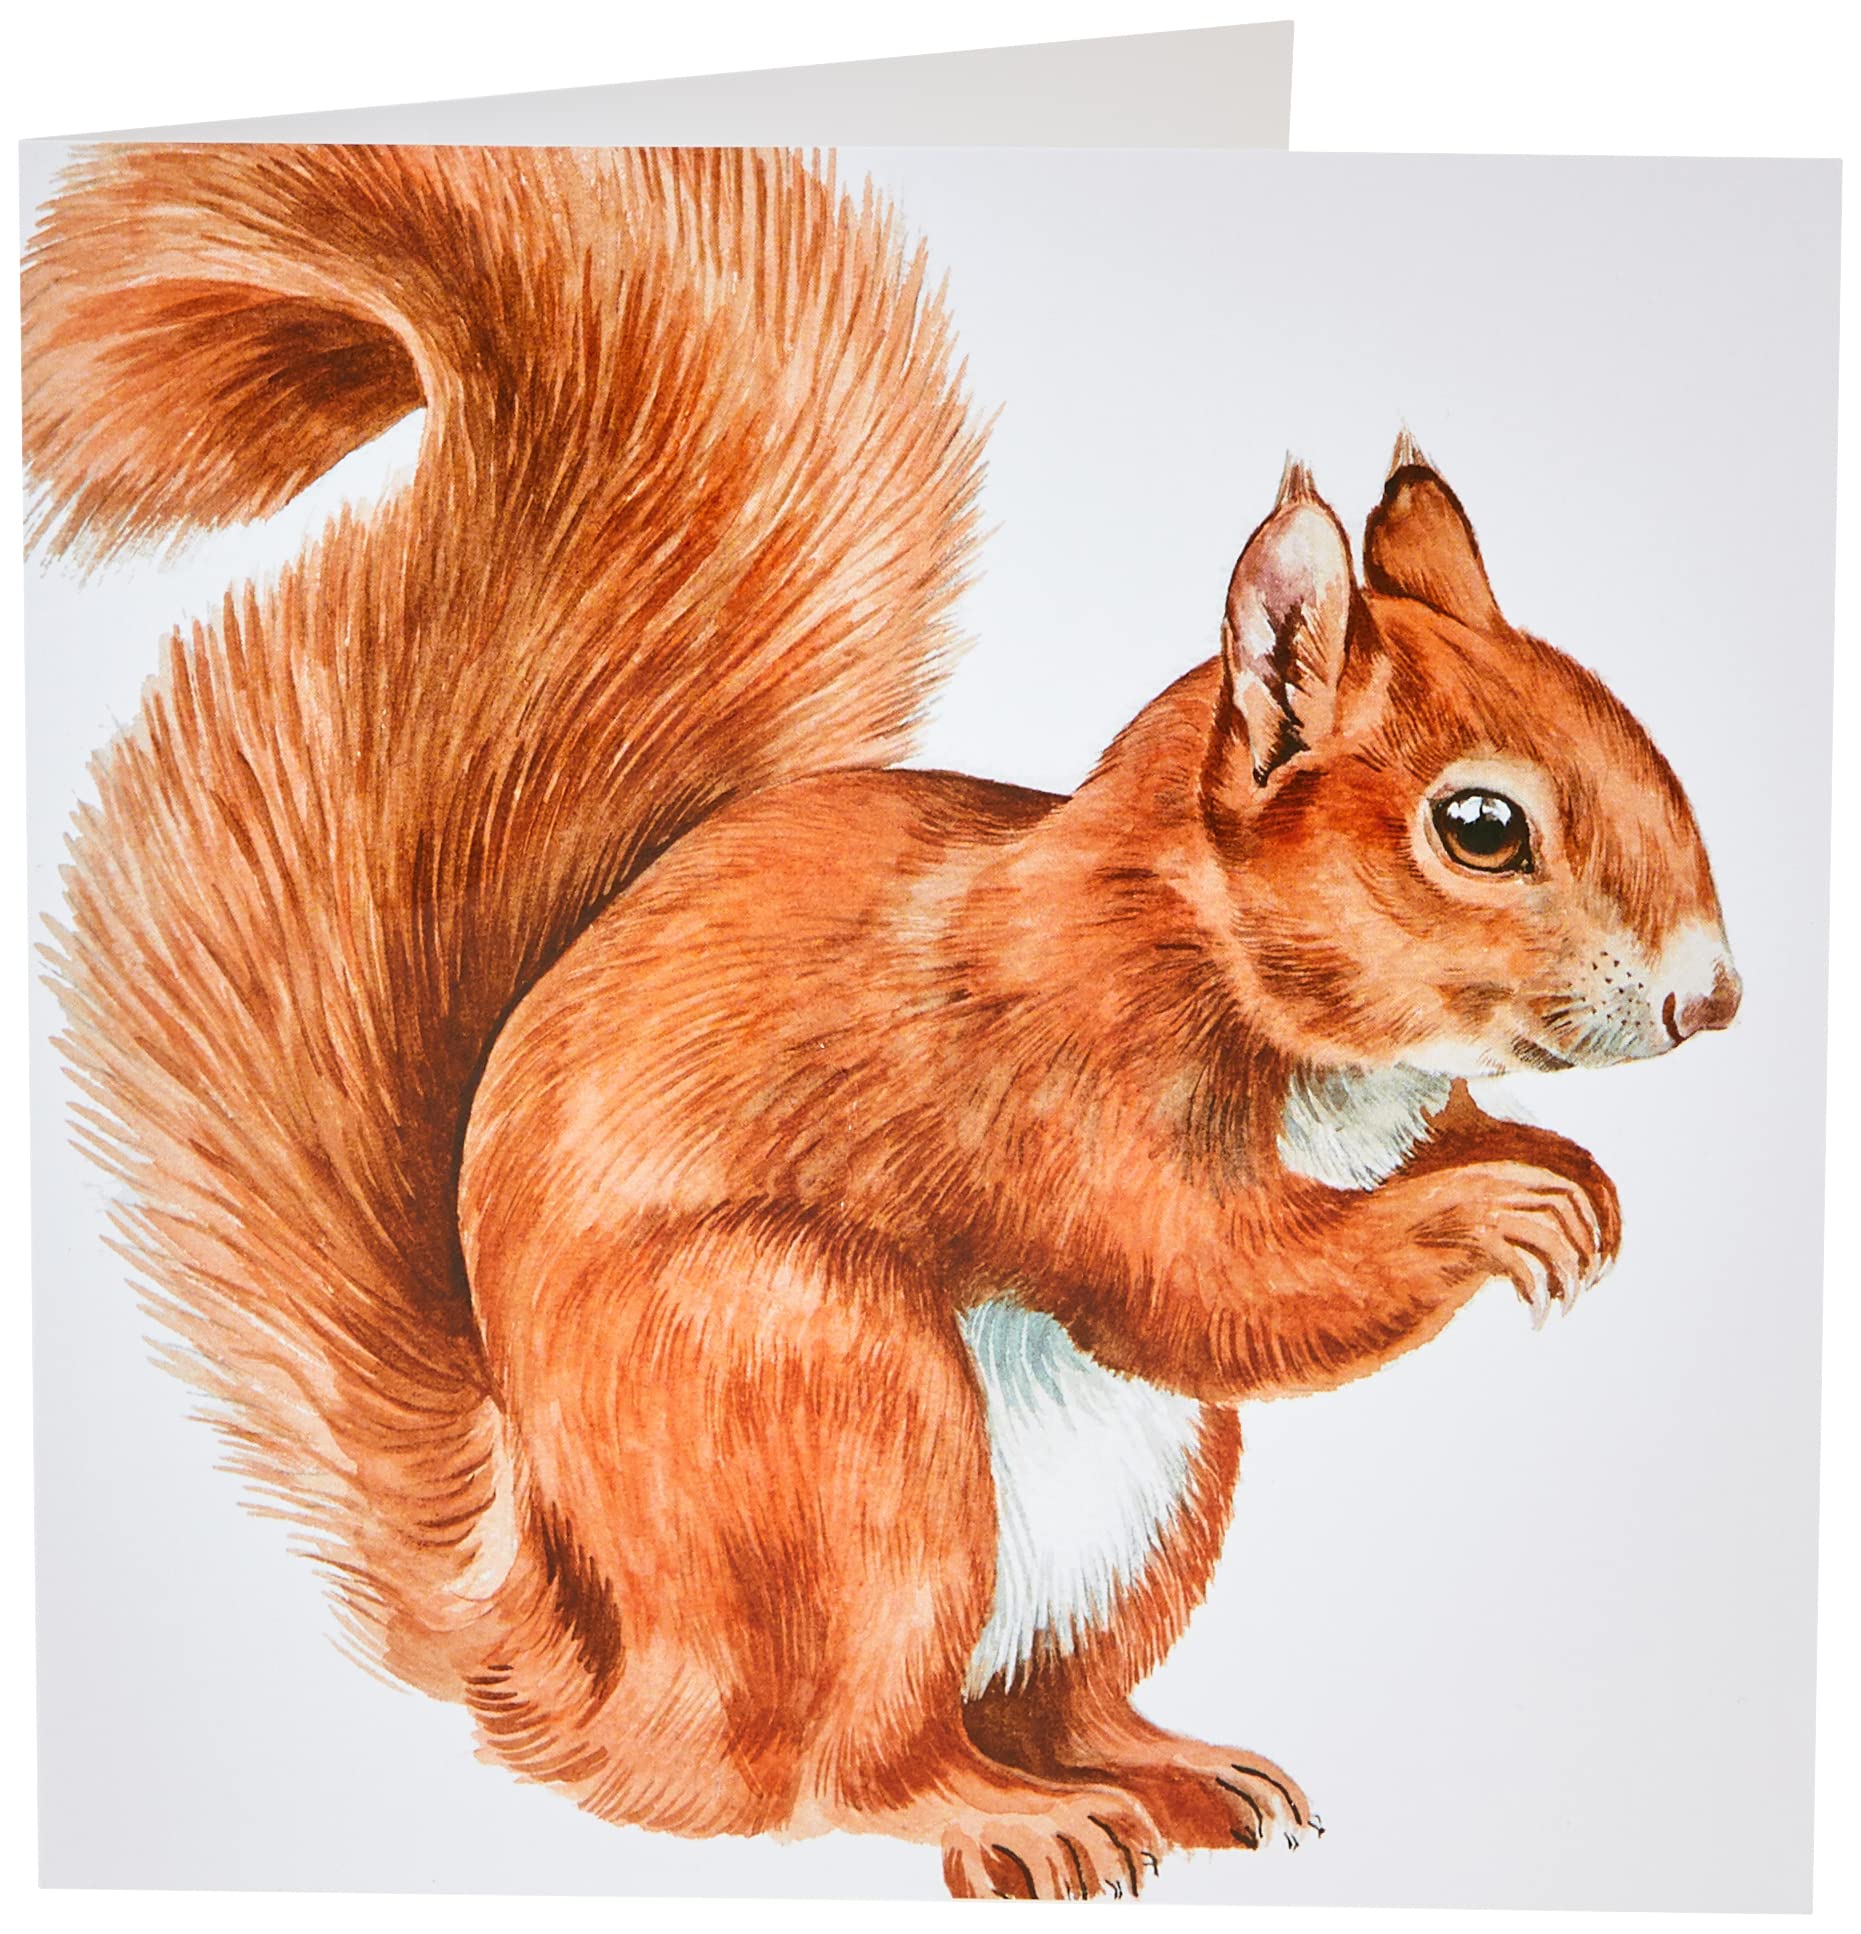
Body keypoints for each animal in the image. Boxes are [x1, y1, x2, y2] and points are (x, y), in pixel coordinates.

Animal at [23, 145, 1740, 1901]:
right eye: (1480, 827)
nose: (1712, 993)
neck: (1294, 1028)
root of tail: (575, 1665)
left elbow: (1414, 1156)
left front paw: (1563, 1172)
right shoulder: (1061, 1083)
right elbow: (1217, 1284)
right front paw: (1499, 1208)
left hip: (1136, 1505)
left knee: (1051, 1699)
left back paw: (1169, 1771)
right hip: (826, 1400)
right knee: (841, 1765)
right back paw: (1010, 1815)